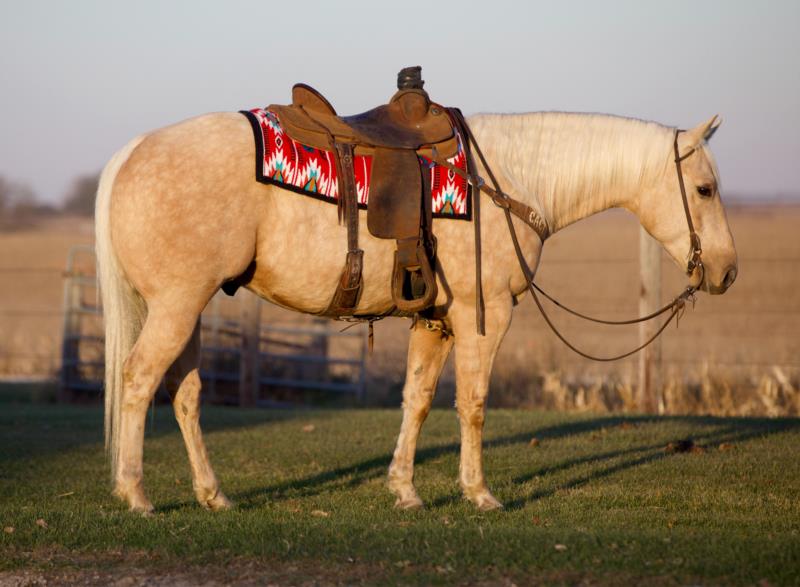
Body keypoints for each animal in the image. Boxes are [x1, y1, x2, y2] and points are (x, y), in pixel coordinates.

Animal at [96, 108, 737, 514]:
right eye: (705, 189)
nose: (727, 271)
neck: (506, 178)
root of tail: (130, 152)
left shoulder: (435, 321)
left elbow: (419, 399)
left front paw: (405, 490)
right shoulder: (485, 315)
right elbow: (473, 404)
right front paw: (479, 494)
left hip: (187, 311)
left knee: (184, 394)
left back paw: (213, 495)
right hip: (176, 308)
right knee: (138, 380)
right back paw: (136, 494)